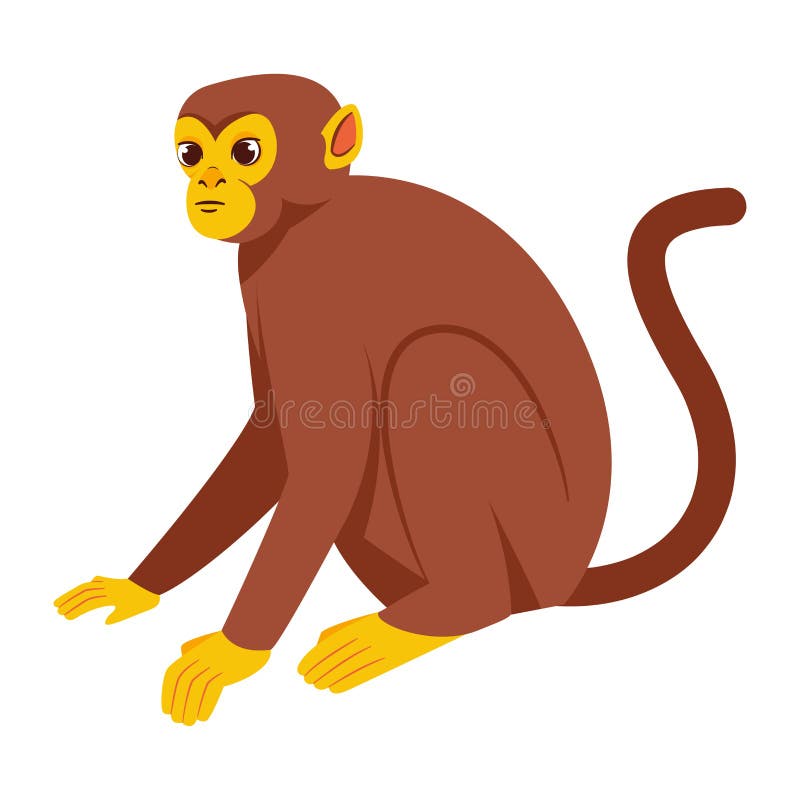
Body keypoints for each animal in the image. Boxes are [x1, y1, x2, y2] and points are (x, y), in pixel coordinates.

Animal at [54, 74, 745, 725]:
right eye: (191, 153)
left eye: (247, 151)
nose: (209, 179)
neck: (305, 216)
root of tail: (566, 573)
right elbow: (273, 443)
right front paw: (138, 587)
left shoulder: (309, 284)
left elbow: (325, 464)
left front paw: (234, 652)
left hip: (534, 525)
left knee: (434, 368)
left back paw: (451, 609)